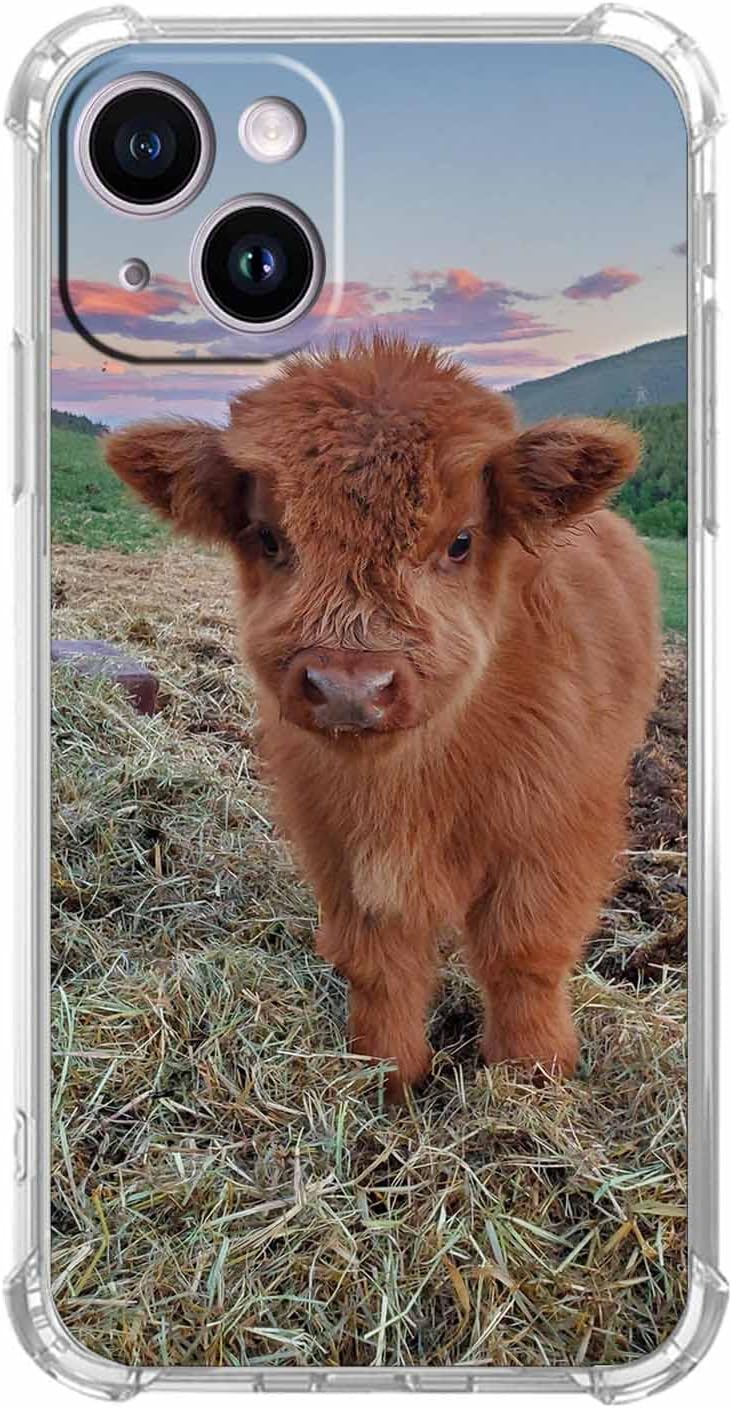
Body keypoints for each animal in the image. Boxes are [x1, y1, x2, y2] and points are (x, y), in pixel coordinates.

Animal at [105, 336, 659, 1102]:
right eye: (269, 537)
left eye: (460, 541)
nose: (349, 687)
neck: (412, 785)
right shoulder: (335, 839)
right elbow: (377, 960)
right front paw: (387, 1078)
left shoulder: (555, 830)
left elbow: (524, 952)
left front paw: (532, 1078)